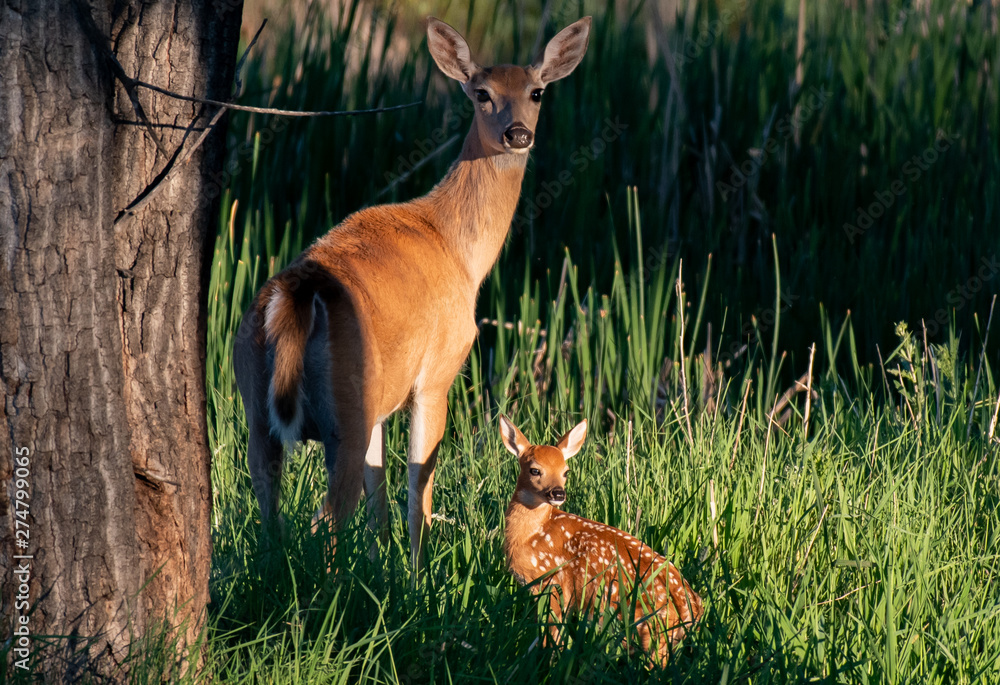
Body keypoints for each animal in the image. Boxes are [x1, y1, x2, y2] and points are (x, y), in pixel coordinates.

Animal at [233, 17, 592, 570]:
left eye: (537, 92)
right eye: (482, 93)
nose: (517, 134)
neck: (460, 249)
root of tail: (297, 291)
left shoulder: (386, 398)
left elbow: (380, 495)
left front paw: (382, 565)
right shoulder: (438, 373)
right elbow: (417, 490)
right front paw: (417, 576)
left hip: (256, 402)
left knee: (272, 512)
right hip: (347, 405)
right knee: (328, 516)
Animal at [499, 415, 703, 666]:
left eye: (566, 472)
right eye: (535, 470)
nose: (558, 493)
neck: (531, 535)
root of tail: (692, 609)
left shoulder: (550, 581)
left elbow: (552, 635)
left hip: (649, 628)